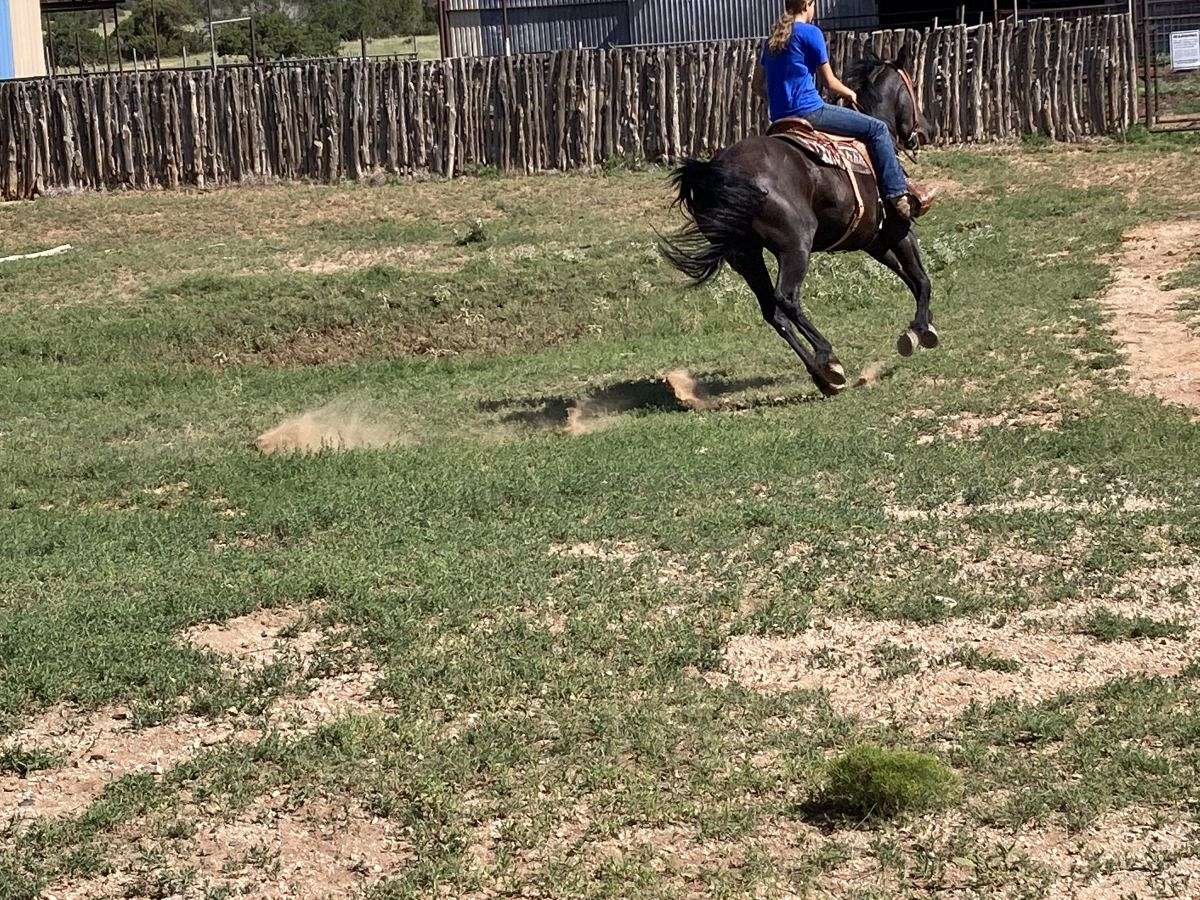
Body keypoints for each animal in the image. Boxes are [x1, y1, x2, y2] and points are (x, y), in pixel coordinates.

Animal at [660, 46, 937, 398]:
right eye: (912, 85)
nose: (926, 130)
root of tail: (718, 171)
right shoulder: (897, 229)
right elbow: (921, 278)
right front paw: (919, 331)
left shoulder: (873, 241)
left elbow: (910, 278)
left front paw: (923, 326)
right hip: (795, 246)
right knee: (786, 300)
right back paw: (828, 356)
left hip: (744, 255)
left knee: (772, 311)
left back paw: (826, 375)